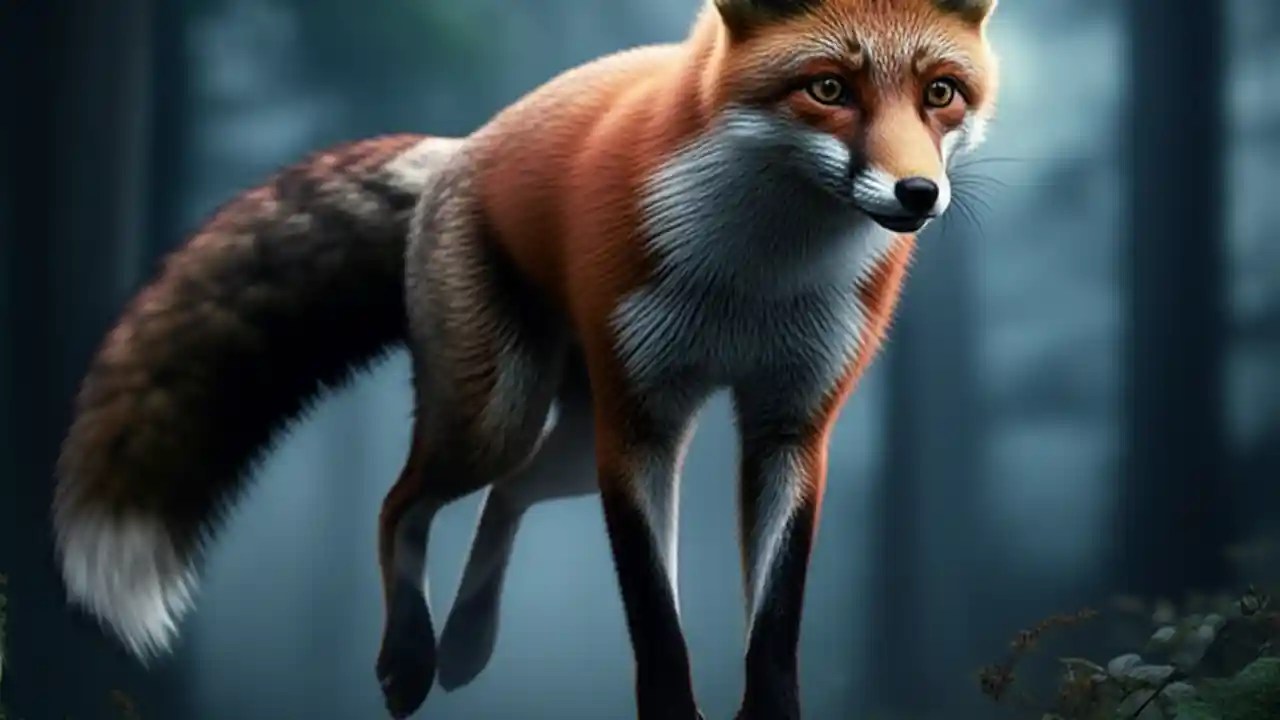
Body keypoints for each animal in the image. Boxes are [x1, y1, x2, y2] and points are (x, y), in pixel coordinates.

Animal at [52, 0, 1001, 717]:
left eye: (941, 94)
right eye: (829, 89)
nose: (919, 194)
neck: (759, 274)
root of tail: (462, 146)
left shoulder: (792, 428)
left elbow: (773, 623)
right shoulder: (641, 428)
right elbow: (655, 622)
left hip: (573, 444)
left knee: (506, 495)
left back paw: (469, 641)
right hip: (504, 415)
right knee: (403, 504)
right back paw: (411, 658)